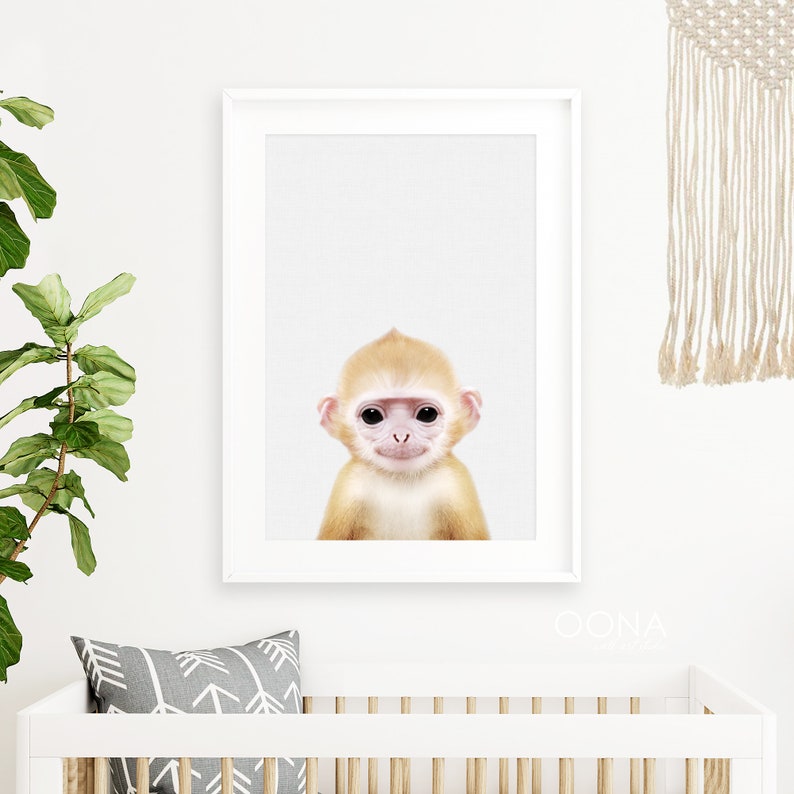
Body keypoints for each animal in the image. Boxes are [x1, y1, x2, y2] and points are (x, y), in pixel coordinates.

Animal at [317, 329, 489, 540]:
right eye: (371, 416)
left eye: (427, 414)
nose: (400, 435)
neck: (402, 481)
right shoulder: (348, 488)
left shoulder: (457, 486)